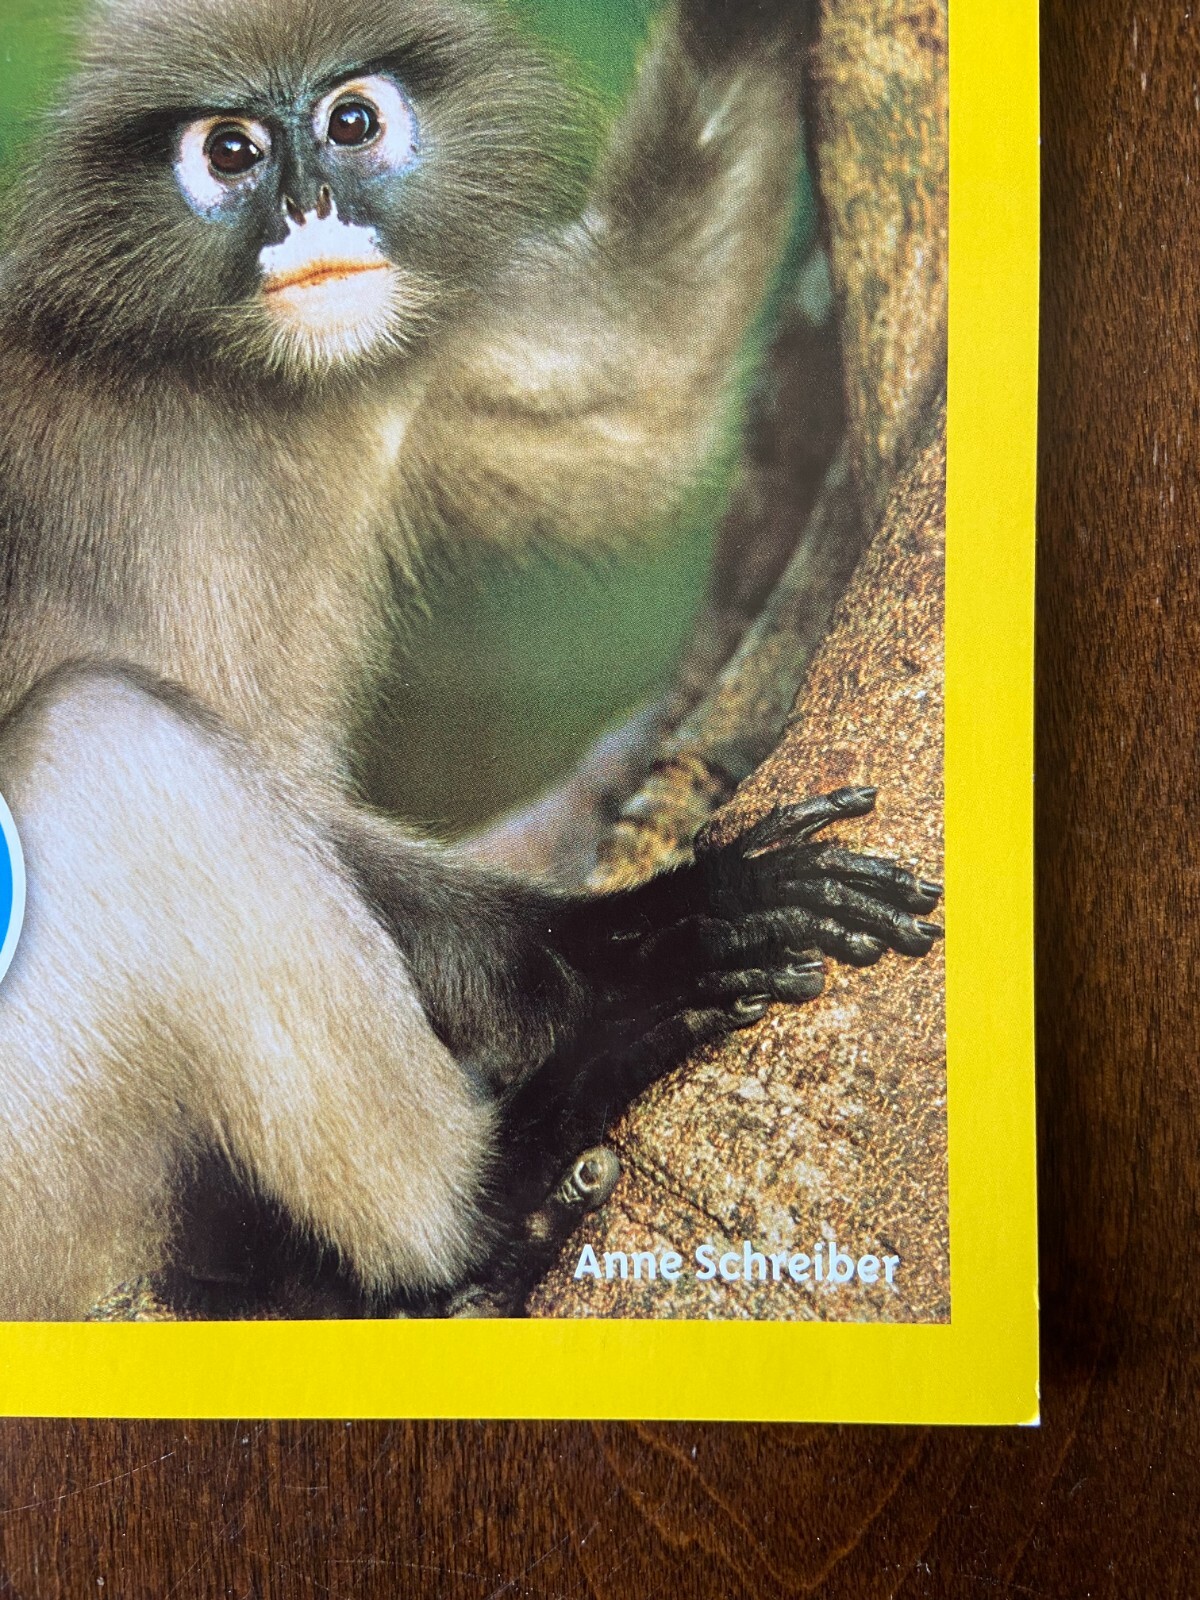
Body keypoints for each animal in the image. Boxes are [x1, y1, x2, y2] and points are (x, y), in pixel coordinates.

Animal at [0, 0, 943, 1320]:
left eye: (351, 122)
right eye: (231, 151)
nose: (307, 207)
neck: (241, 389)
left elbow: (640, 369)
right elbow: (283, 794)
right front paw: (641, 940)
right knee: (104, 737)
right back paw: (480, 1209)